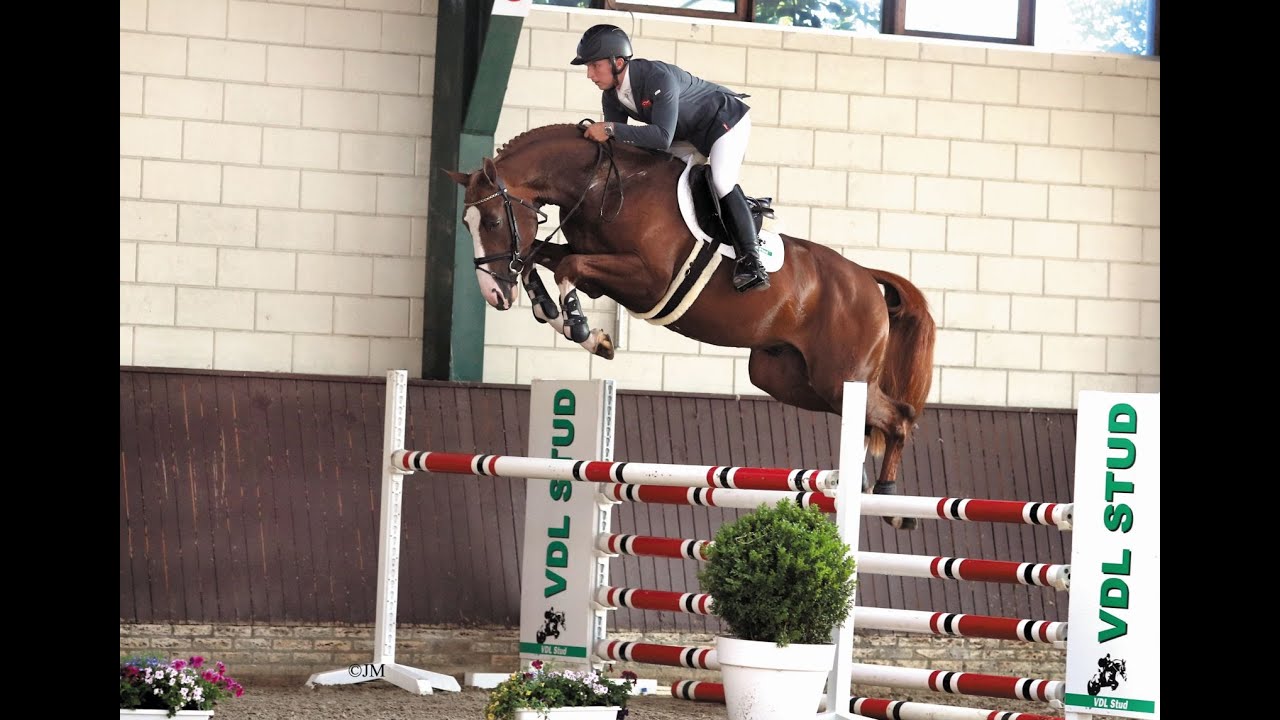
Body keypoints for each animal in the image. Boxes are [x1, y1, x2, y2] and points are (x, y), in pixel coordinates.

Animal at [445, 122, 936, 530]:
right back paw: (873, 489)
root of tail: (866, 278)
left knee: (899, 417)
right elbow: (537, 258)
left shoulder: (645, 279)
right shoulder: (596, 270)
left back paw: (893, 503)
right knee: (872, 416)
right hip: (788, 378)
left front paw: (586, 331)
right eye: (467, 224)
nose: (493, 295)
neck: (601, 185)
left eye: (493, 220)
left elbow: (565, 265)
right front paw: (558, 314)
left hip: (838, 377)